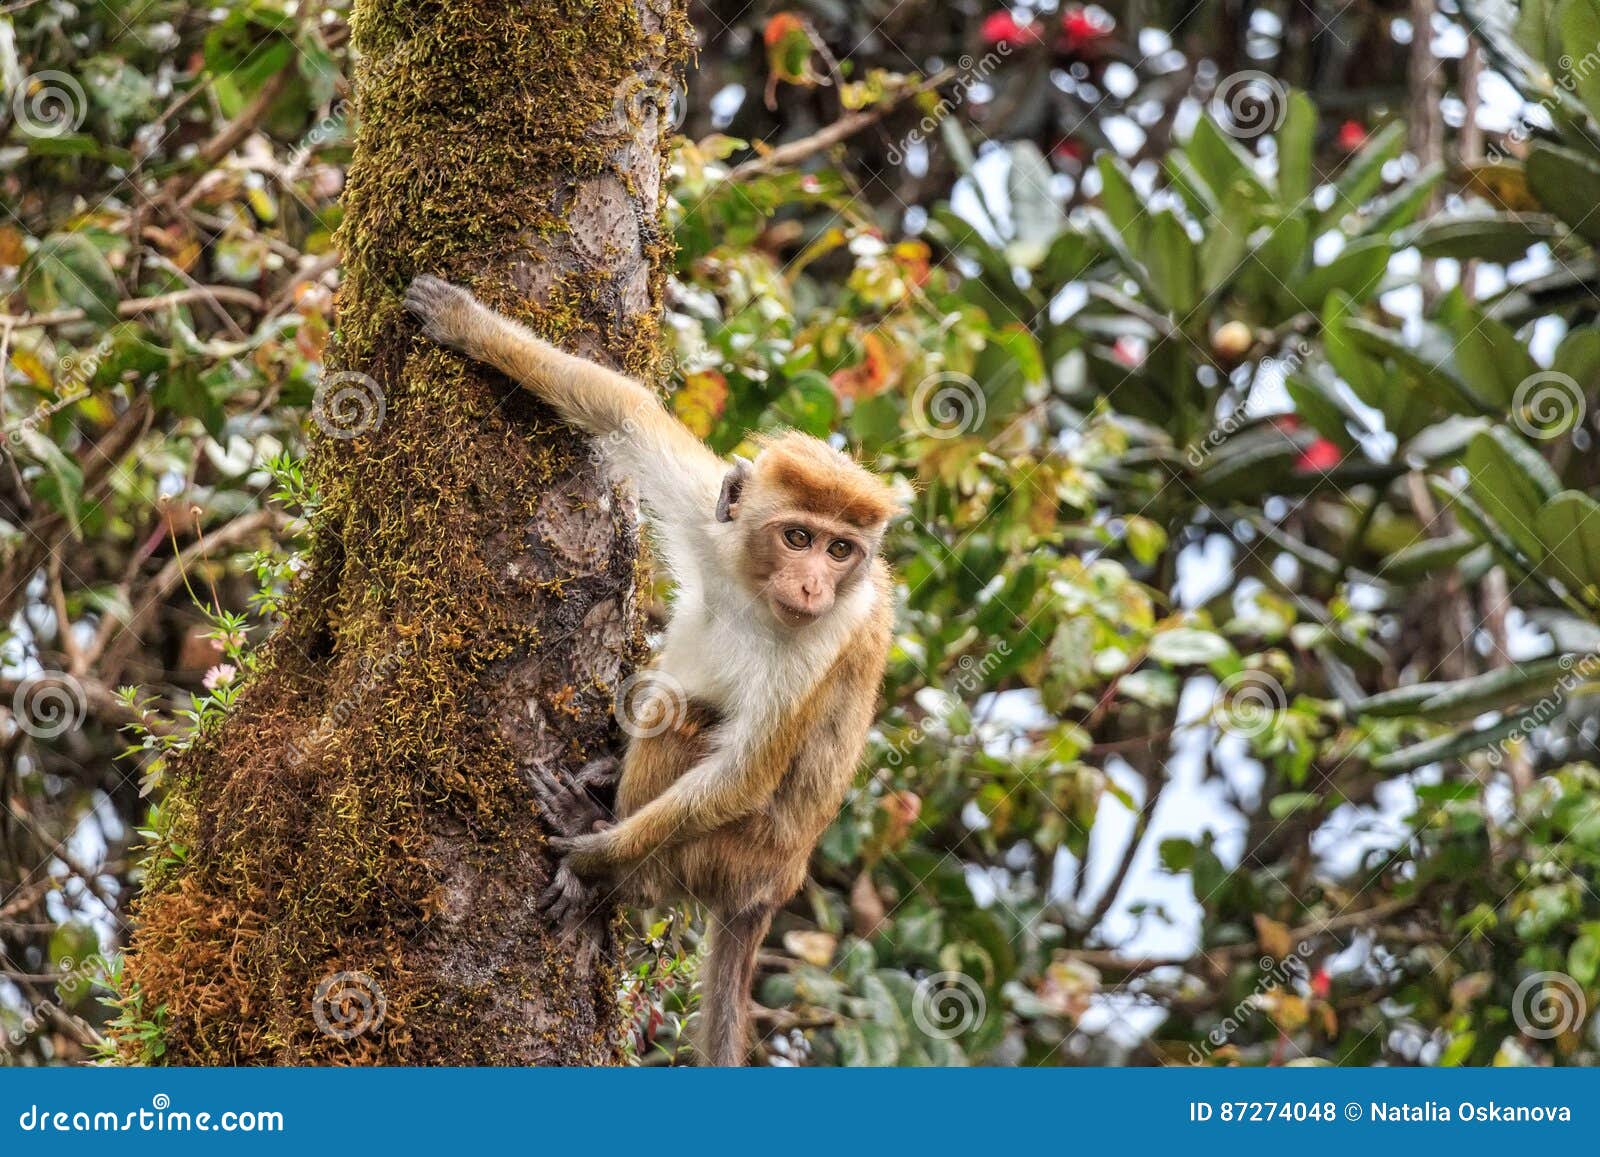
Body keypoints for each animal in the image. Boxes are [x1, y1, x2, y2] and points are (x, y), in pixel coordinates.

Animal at [403, 275, 901, 1066]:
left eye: (841, 550)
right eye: (799, 537)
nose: (813, 587)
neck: (756, 591)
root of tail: (773, 886)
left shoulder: (825, 643)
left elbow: (744, 776)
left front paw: (597, 853)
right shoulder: (713, 511)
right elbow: (618, 408)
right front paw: (469, 325)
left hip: (728, 858)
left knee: (682, 724)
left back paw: (616, 867)